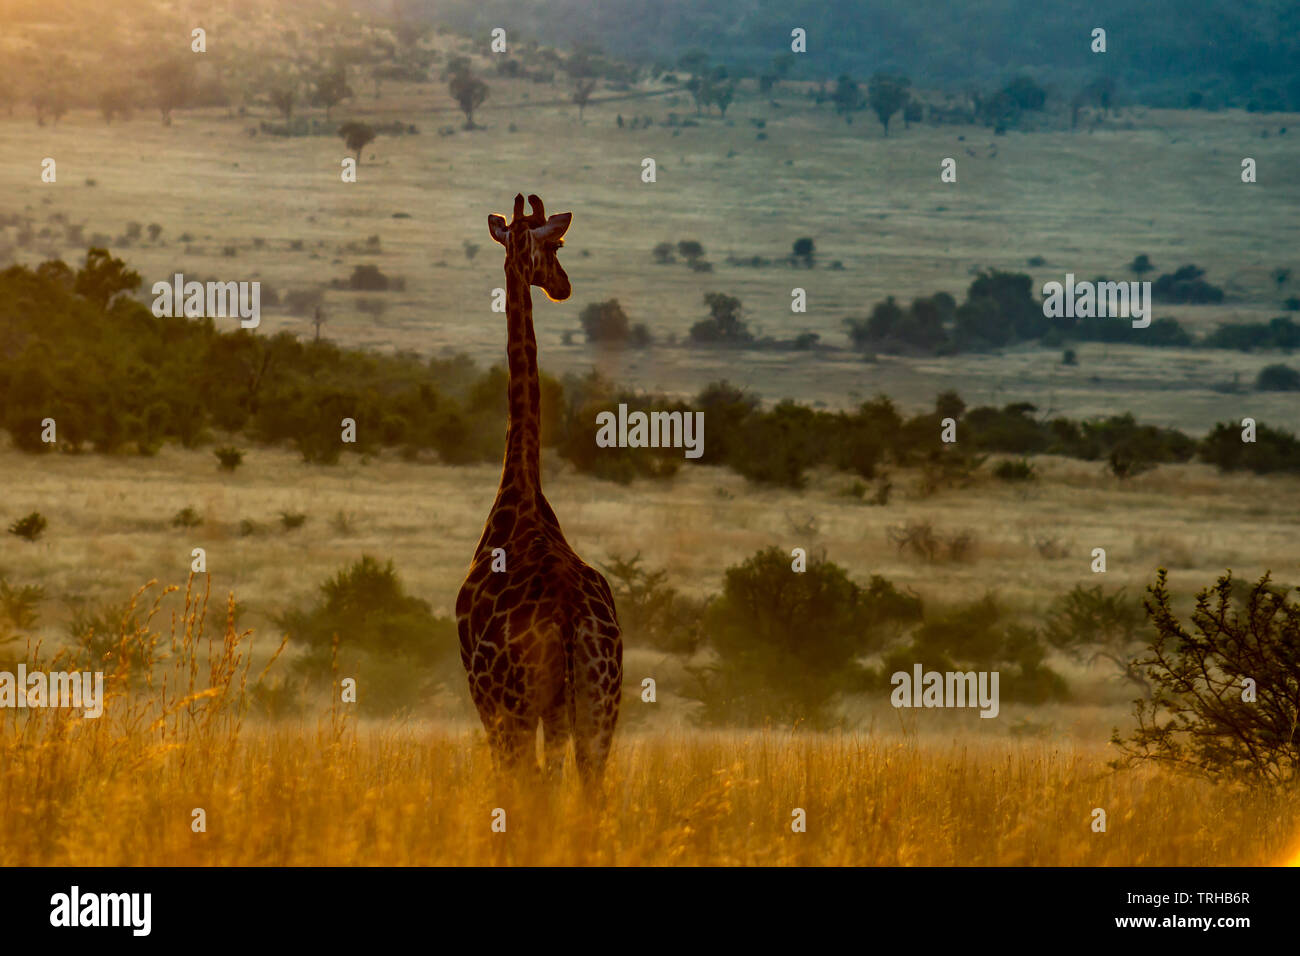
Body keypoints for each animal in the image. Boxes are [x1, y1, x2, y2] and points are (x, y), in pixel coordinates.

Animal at [455, 193, 623, 786]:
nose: (563, 284)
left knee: (534, 782)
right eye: (556, 245)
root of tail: (572, 620)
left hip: (520, 701)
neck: (522, 488)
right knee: (589, 787)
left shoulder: (485, 696)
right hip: (600, 702)